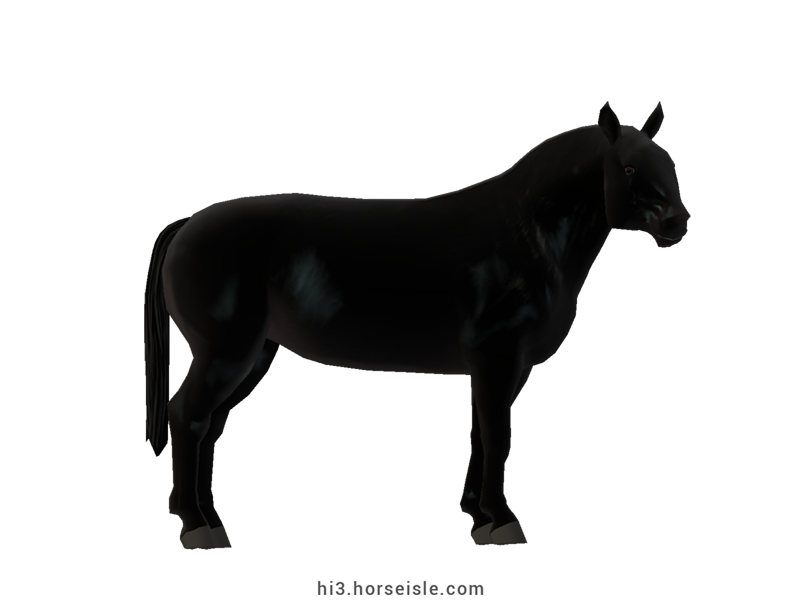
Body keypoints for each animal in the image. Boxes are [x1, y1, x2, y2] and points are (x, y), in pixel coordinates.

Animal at [144, 102, 690, 547]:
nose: (675, 223)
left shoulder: (502, 364)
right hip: (223, 351)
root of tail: (188, 225)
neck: (529, 235)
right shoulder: (497, 353)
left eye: (667, 163)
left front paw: (479, 518)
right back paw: (196, 527)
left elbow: (481, 433)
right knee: (187, 417)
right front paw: (504, 521)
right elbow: (498, 435)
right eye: (629, 166)